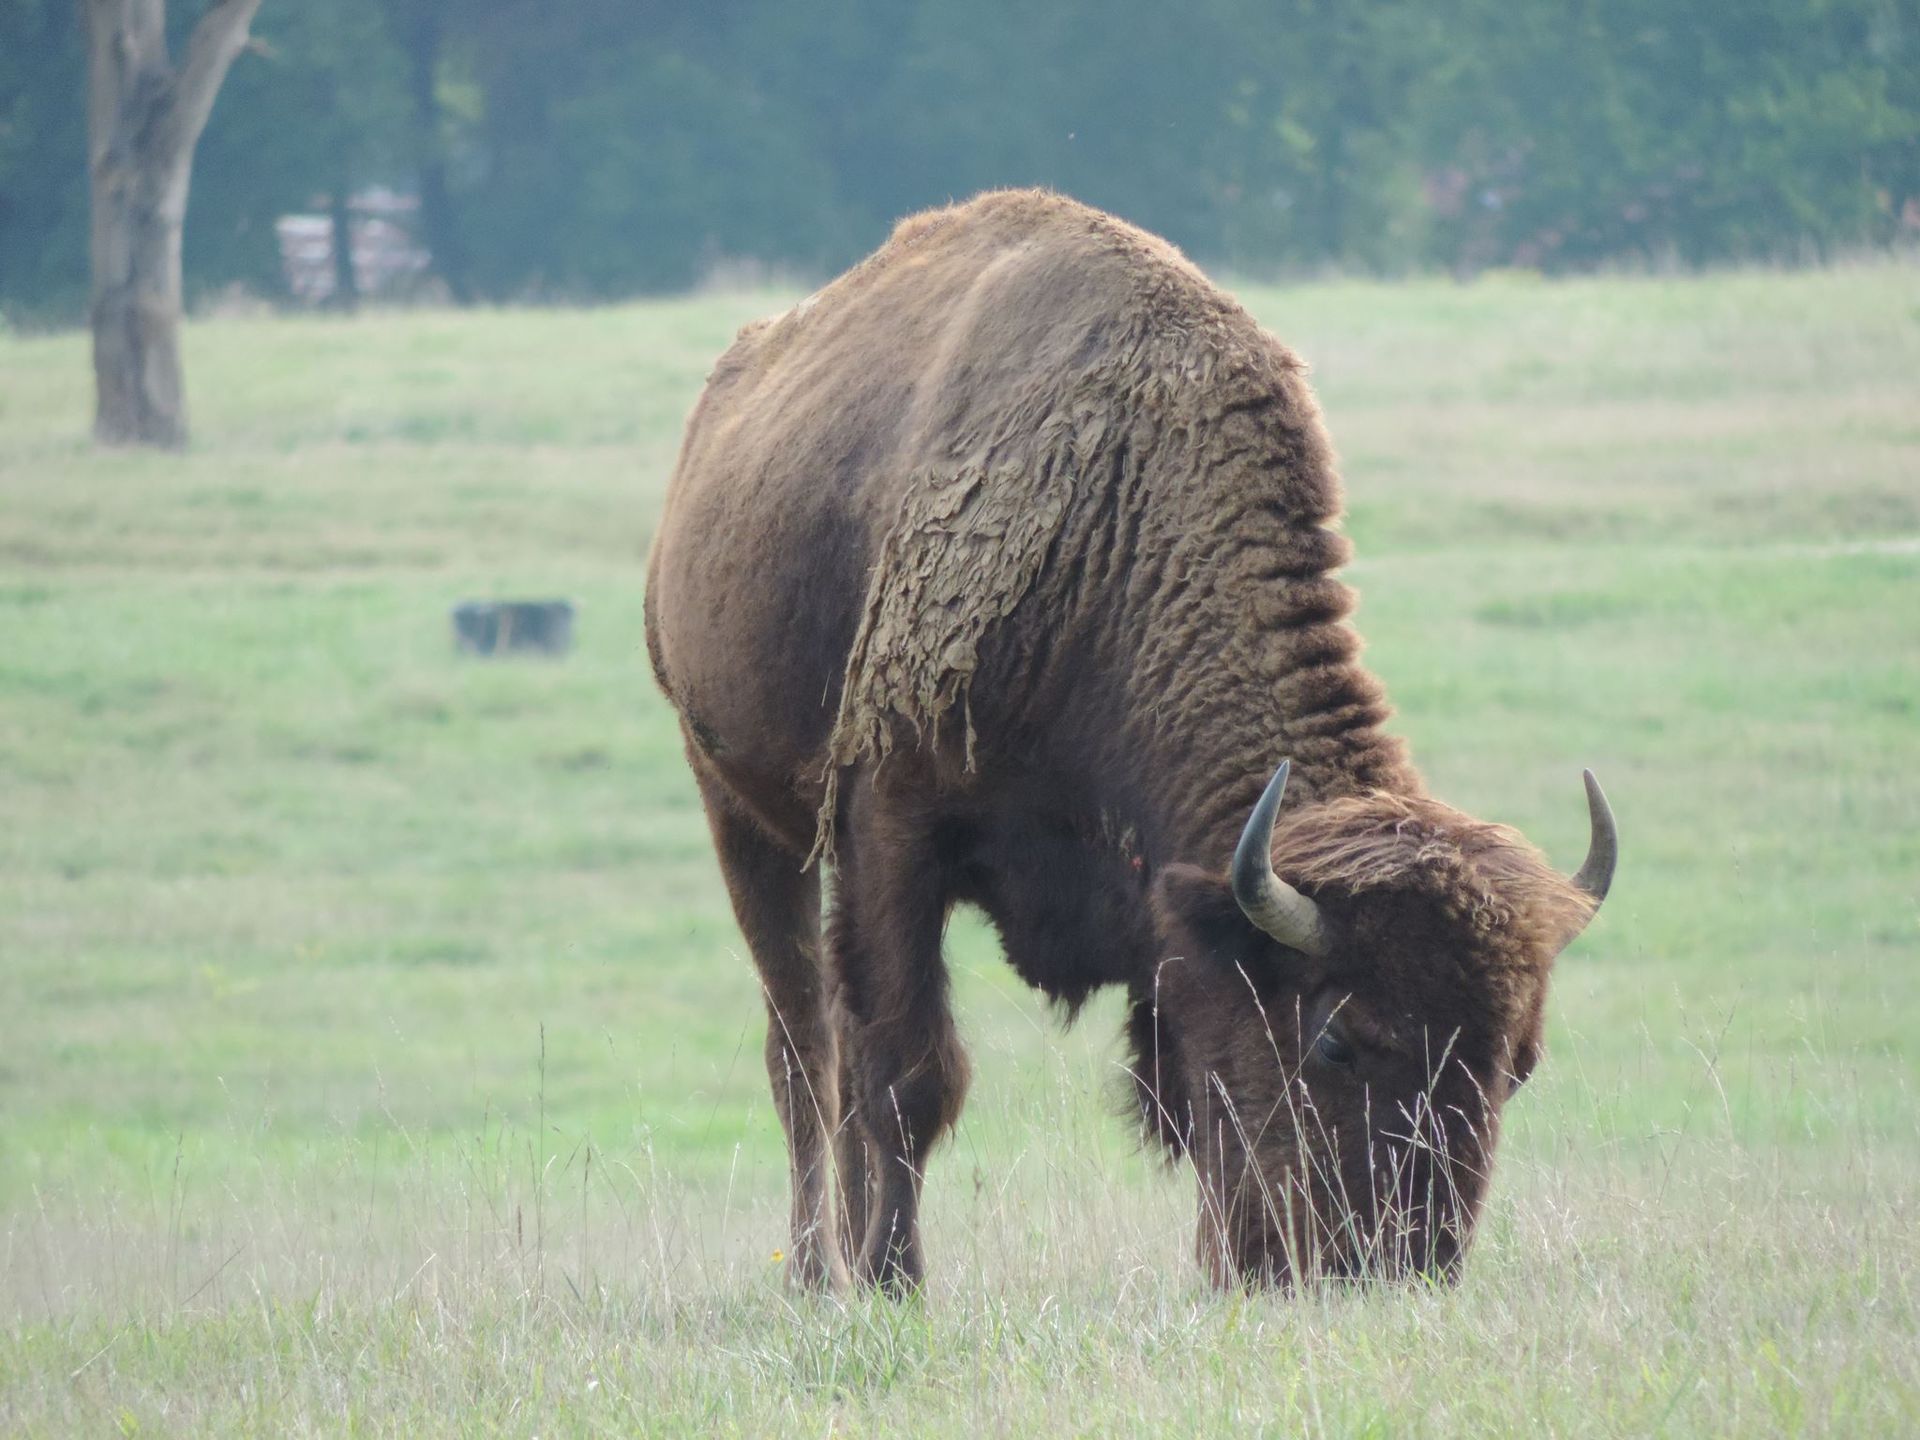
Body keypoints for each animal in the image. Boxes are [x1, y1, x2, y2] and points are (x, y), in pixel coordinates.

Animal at [645, 190, 1614, 1293]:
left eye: (1518, 1061)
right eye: (1336, 1039)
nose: (1396, 1264)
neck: (1116, 535)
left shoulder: (1162, 908)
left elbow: (1189, 1092)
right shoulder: (892, 830)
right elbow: (908, 1071)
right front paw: (897, 1282)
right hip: (743, 813)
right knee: (806, 1047)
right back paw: (821, 1275)